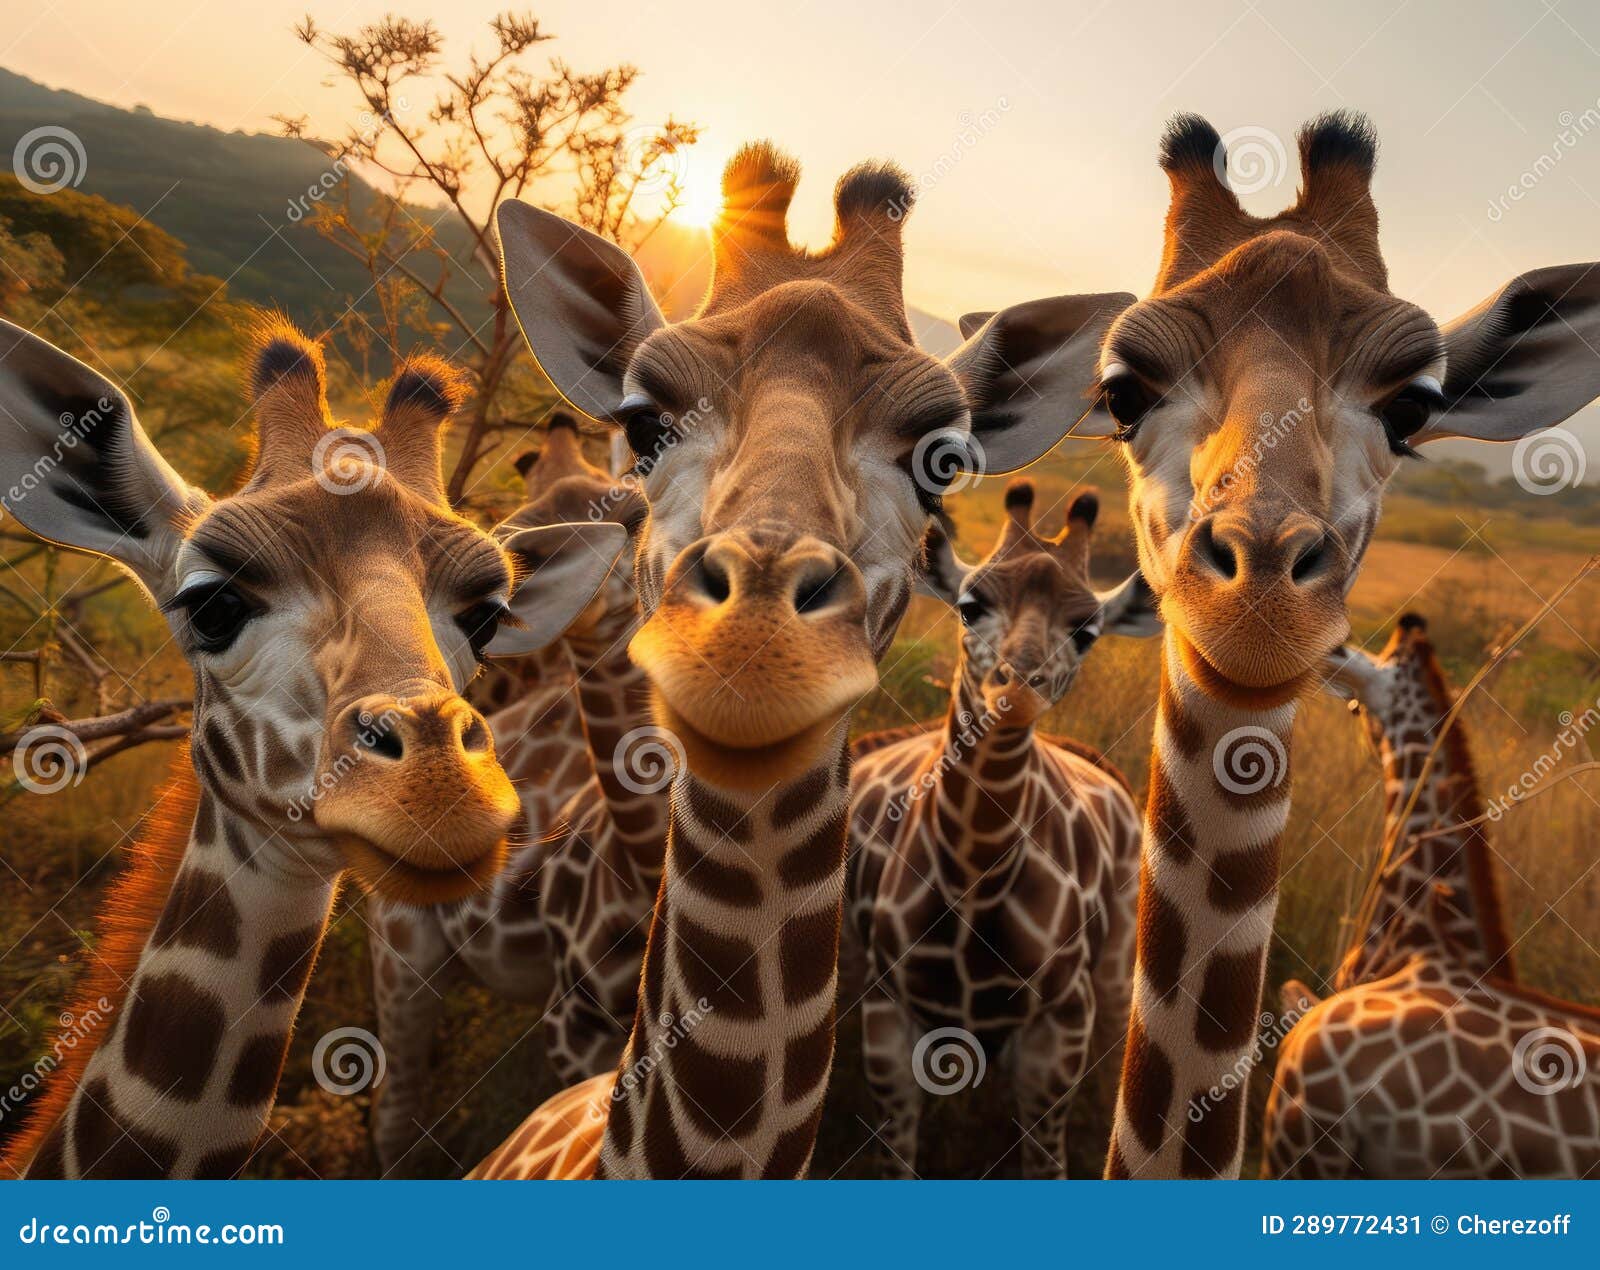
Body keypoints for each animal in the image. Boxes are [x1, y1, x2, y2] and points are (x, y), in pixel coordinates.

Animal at [367, 414, 665, 1172]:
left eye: (632, 511)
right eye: (519, 520)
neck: (641, 865)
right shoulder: (571, 1022)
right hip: (403, 951)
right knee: (395, 1115)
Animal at [847, 479, 1159, 1178]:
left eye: (1088, 631)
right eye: (970, 606)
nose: (1018, 688)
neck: (976, 870)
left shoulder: (1061, 1027)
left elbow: (1047, 1159)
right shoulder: (885, 1012)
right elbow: (897, 1154)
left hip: (1115, 970)